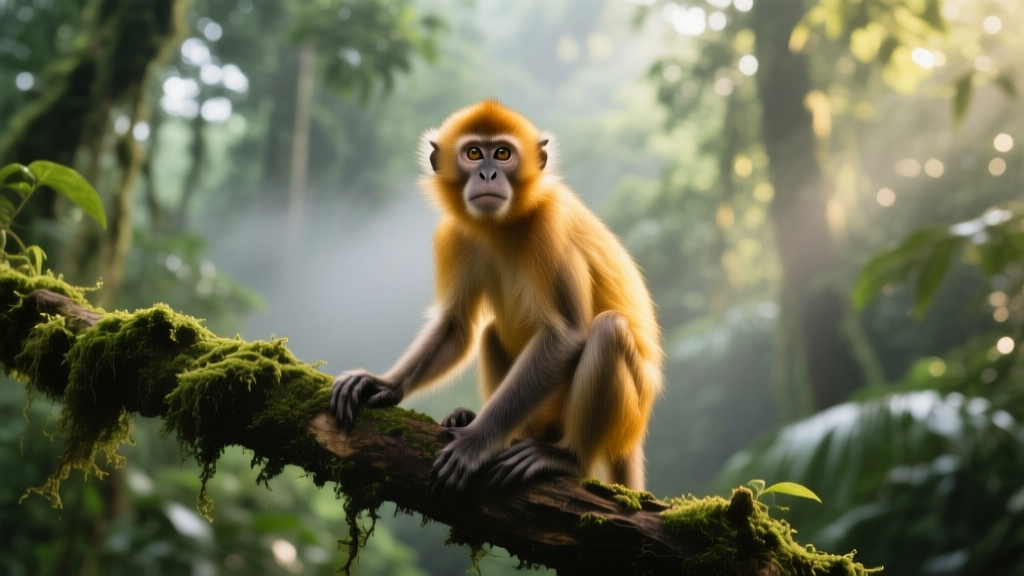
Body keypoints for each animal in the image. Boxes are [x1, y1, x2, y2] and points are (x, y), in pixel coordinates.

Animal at [331, 99, 662, 495]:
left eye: (503, 154)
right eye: (474, 153)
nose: (488, 174)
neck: (501, 224)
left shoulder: (549, 227)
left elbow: (566, 335)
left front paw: (476, 443)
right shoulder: (455, 235)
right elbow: (457, 327)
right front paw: (384, 384)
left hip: (628, 414)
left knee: (608, 331)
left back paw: (566, 458)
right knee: (491, 332)